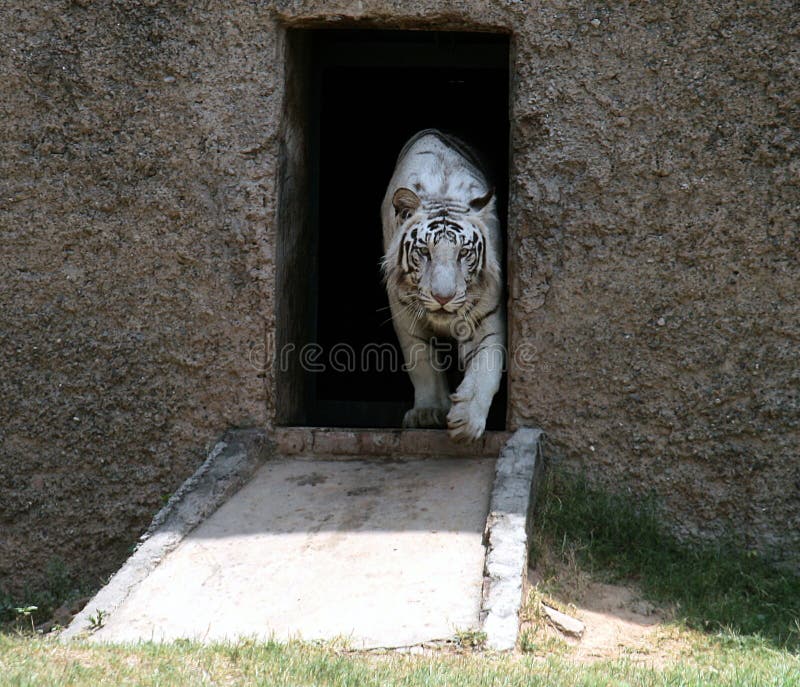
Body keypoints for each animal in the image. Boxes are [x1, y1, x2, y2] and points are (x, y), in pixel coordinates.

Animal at [381, 129, 505, 442]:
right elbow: (422, 362)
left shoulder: (486, 315)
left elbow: (486, 365)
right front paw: (428, 412)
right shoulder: (404, 314)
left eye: (464, 253)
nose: (443, 297)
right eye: (424, 251)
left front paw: (467, 420)